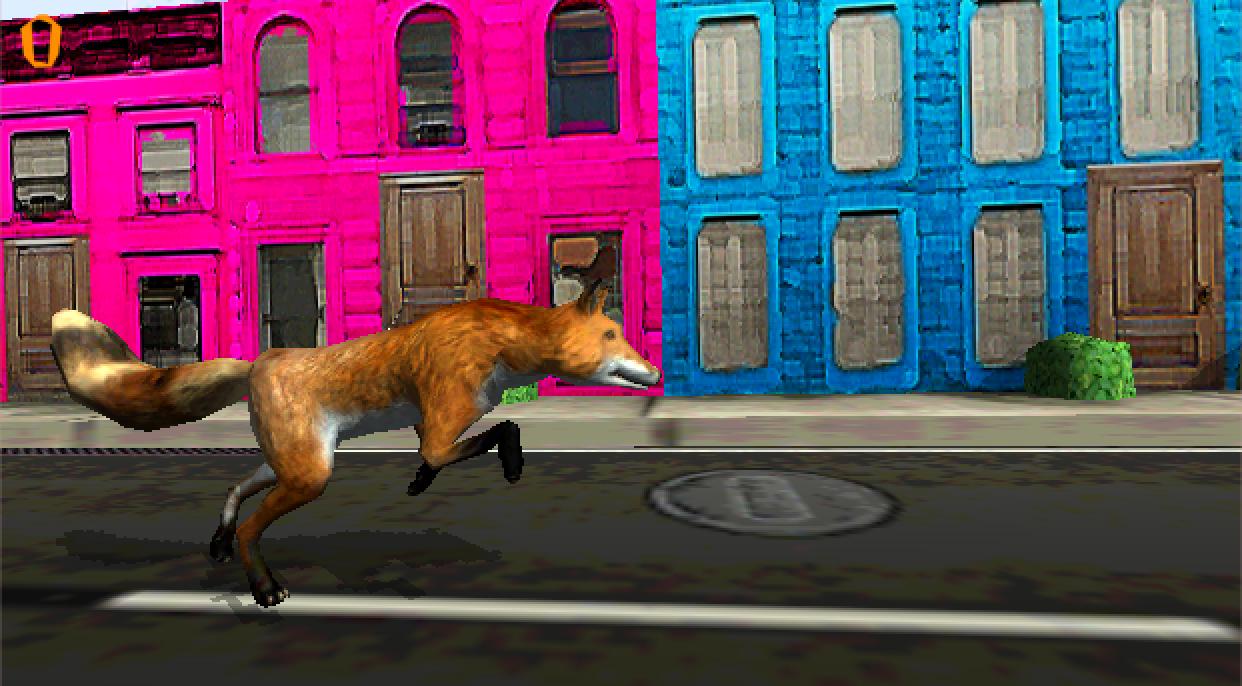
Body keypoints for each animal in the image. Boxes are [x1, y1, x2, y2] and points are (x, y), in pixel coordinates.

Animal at [49, 280, 660, 607]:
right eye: (613, 336)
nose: (655, 372)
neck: (495, 341)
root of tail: (257, 363)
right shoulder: (440, 430)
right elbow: (496, 435)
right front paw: (498, 467)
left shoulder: (431, 427)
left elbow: (480, 437)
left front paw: (421, 481)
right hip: (309, 476)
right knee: (251, 525)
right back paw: (263, 588)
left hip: (295, 465)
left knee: (235, 488)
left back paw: (219, 541)